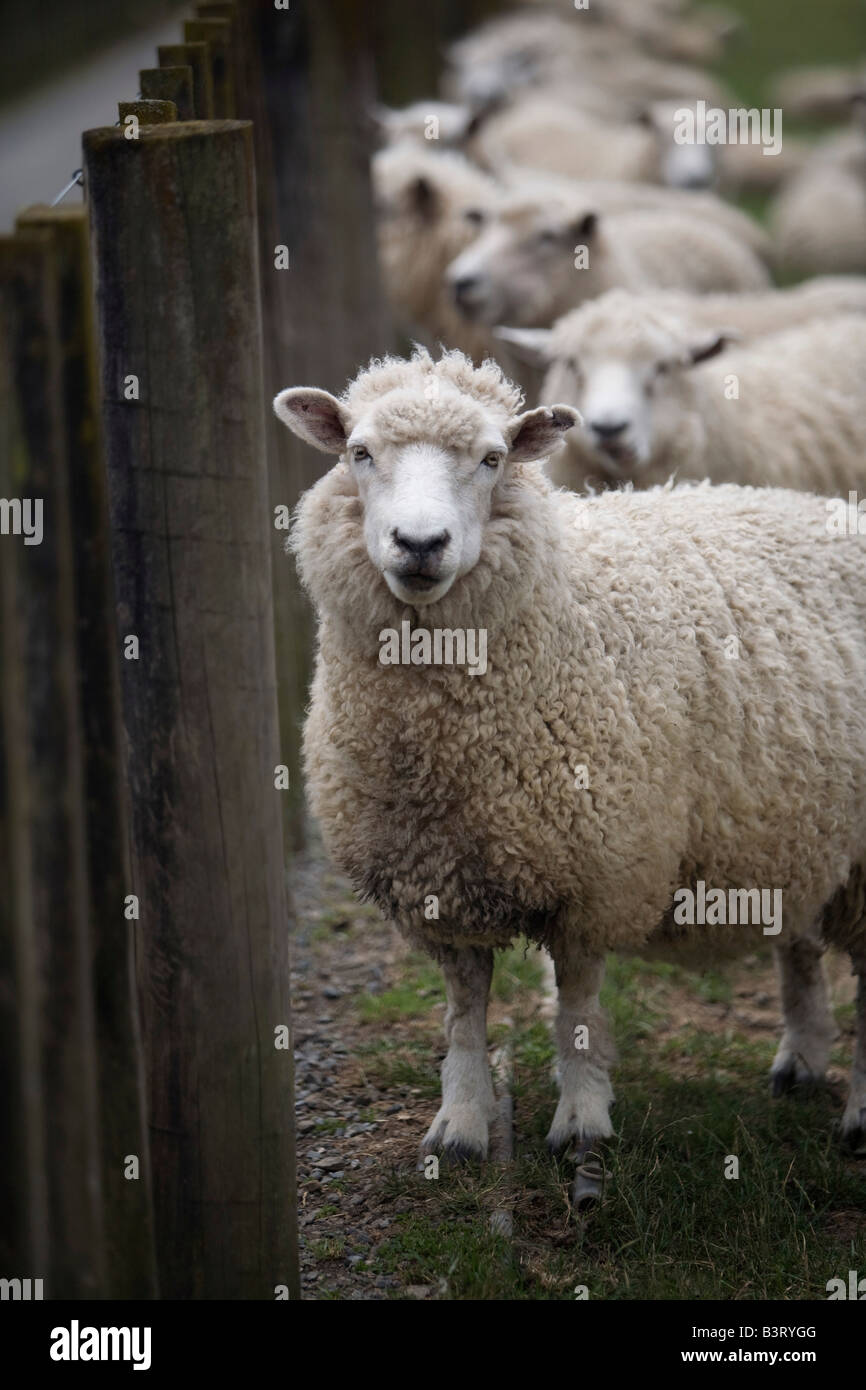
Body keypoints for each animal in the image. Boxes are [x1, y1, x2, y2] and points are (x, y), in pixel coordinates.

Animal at [273, 346, 866, 1167]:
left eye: (492, 459)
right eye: (359, 453)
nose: (420, 546)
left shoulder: (598, 873)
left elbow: (579, 1006)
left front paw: (582, 1120)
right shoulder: (437, 881)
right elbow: (464, 1012)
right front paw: (460, 1125)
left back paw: (859, 1114)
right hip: (798, 822)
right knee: (802, 941)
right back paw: (801, 1061)